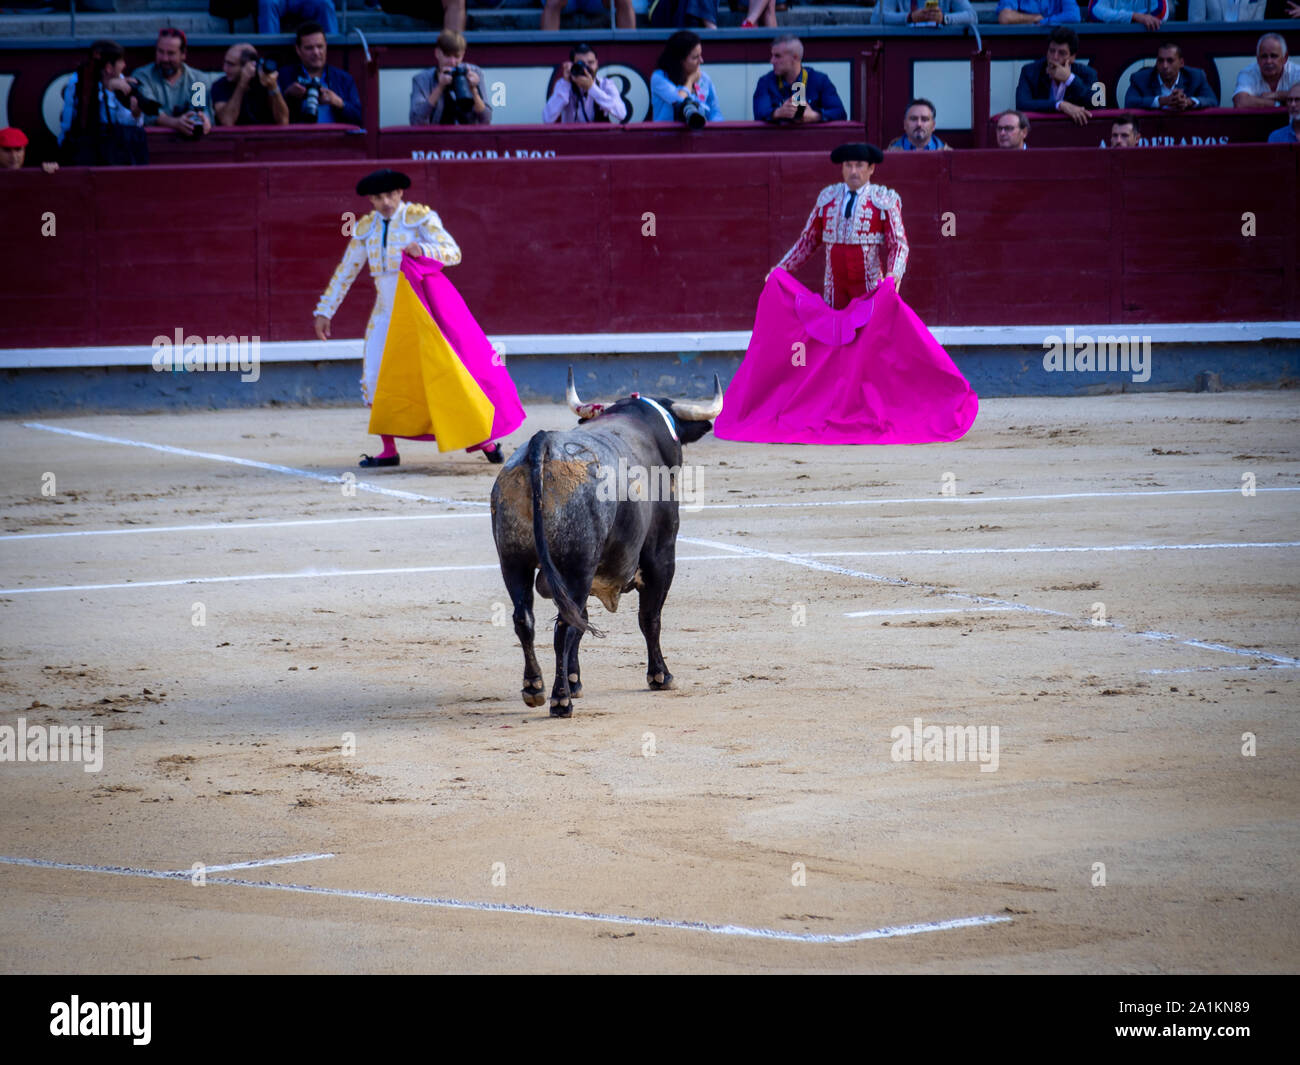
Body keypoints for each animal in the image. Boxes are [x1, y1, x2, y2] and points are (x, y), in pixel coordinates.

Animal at [491, 371, 728, 723]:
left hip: (513, 561)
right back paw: (560, 701)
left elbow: (584, 620)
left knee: (528, 619)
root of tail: (542, 444)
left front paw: (575, 680)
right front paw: (660, 676)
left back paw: (535, 687)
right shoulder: (661, 555)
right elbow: (650, 617)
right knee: (564, 627)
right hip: (575, 567)